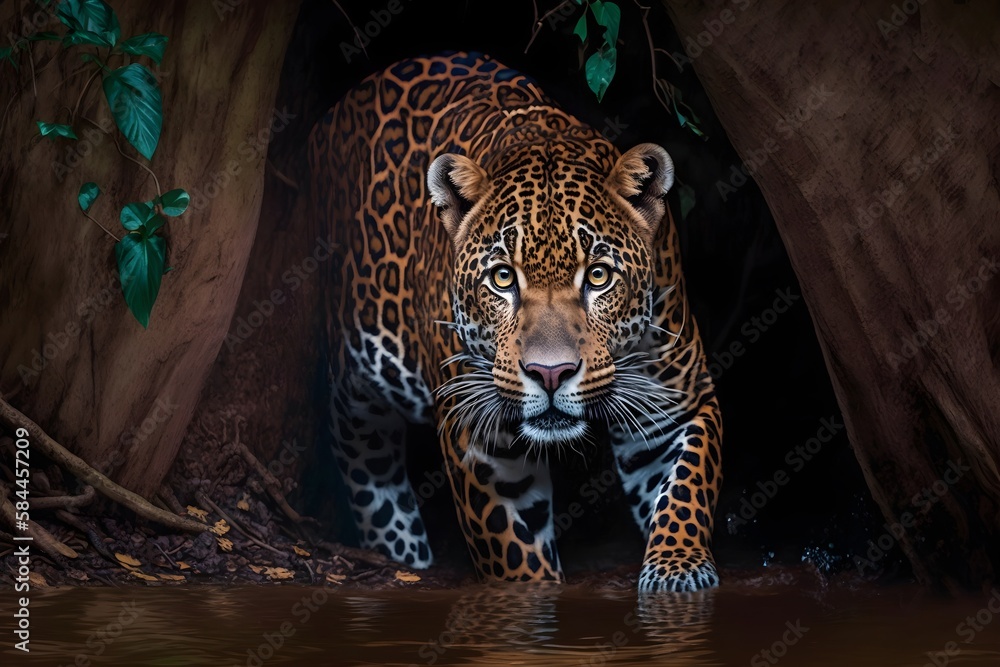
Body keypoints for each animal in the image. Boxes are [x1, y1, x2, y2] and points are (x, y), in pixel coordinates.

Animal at [308, 51, 722, 592]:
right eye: (503, 278)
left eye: (598, 276)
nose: (550, 374)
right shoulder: (477, 438)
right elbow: (512, 552)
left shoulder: (675, 404)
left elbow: (687, 488)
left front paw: (678, 570)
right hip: (354, 388)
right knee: (363, 462)